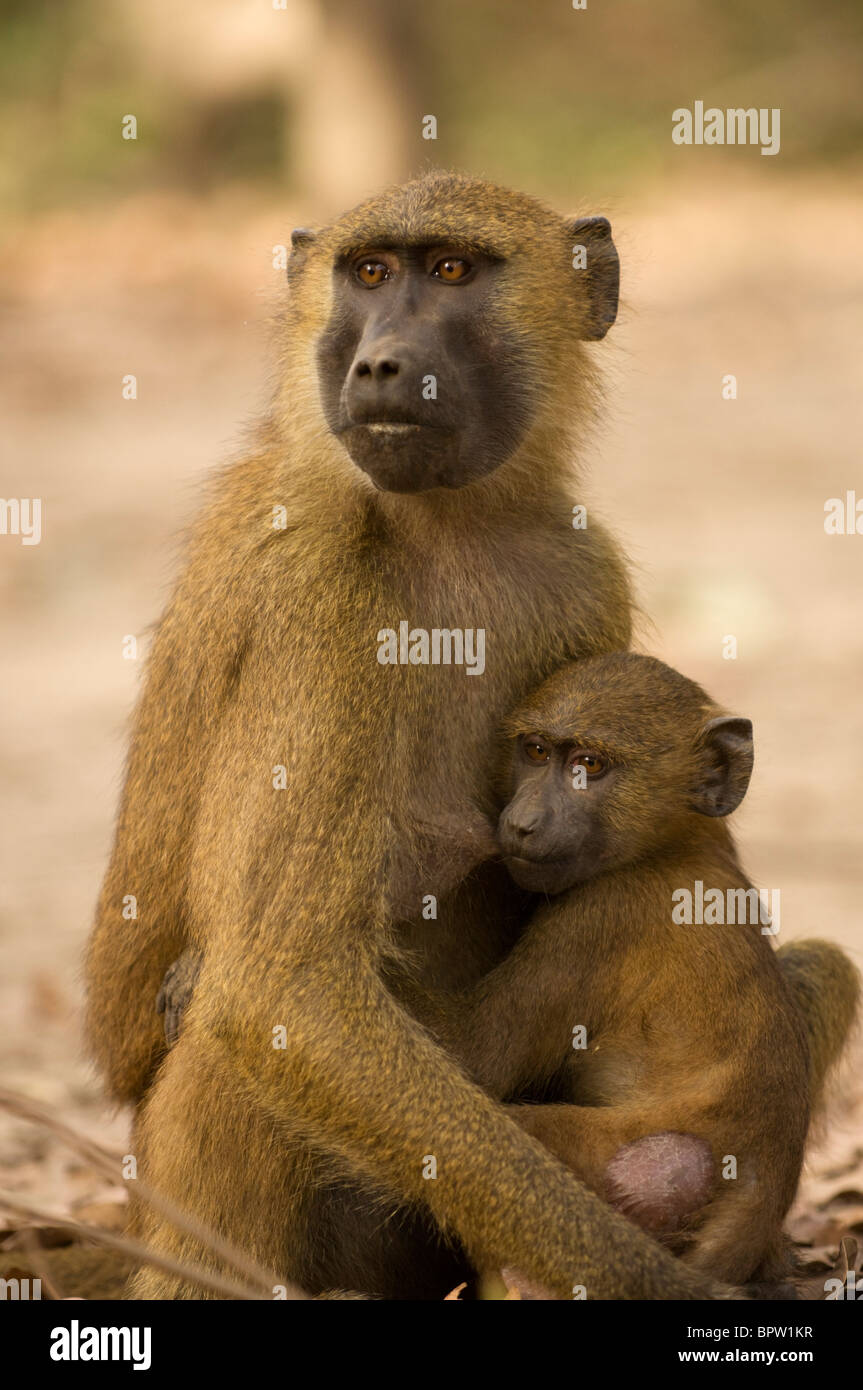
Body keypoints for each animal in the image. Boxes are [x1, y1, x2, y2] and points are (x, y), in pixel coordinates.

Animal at [86, 170, 772, 1301]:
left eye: (450, 269)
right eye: (368, 273)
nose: (378, 364)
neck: (446, 522)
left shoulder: (580, 567)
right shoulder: (316, 571)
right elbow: (283, 986)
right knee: (233, 1027)